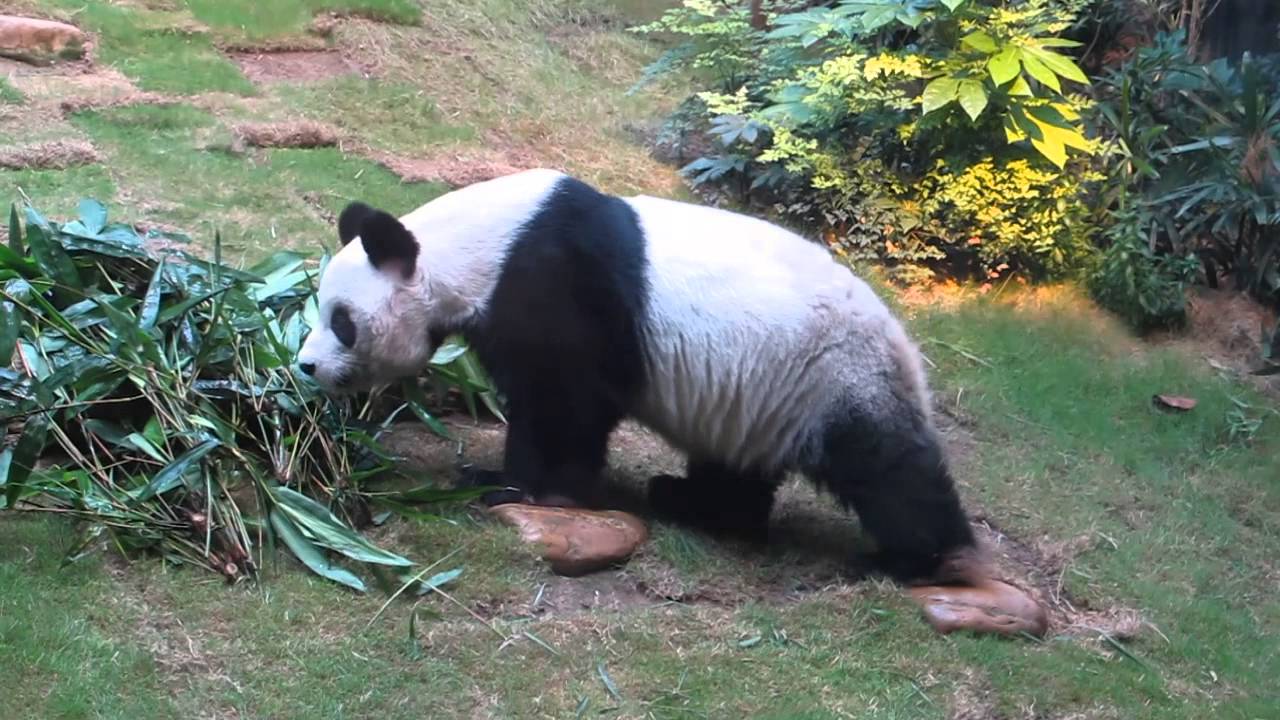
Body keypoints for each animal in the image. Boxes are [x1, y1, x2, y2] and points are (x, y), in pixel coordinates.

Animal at [296, 168, 985, 586]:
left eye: (342, 322)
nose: (306, 366)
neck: (477, 247)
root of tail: (903, 340)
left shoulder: (556, 286)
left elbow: (563, 403)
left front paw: (512, 486)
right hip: (757, 395)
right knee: (738, 467)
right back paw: (688, 500)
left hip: (835, 375)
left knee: (887, 468)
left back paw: (916, 555)